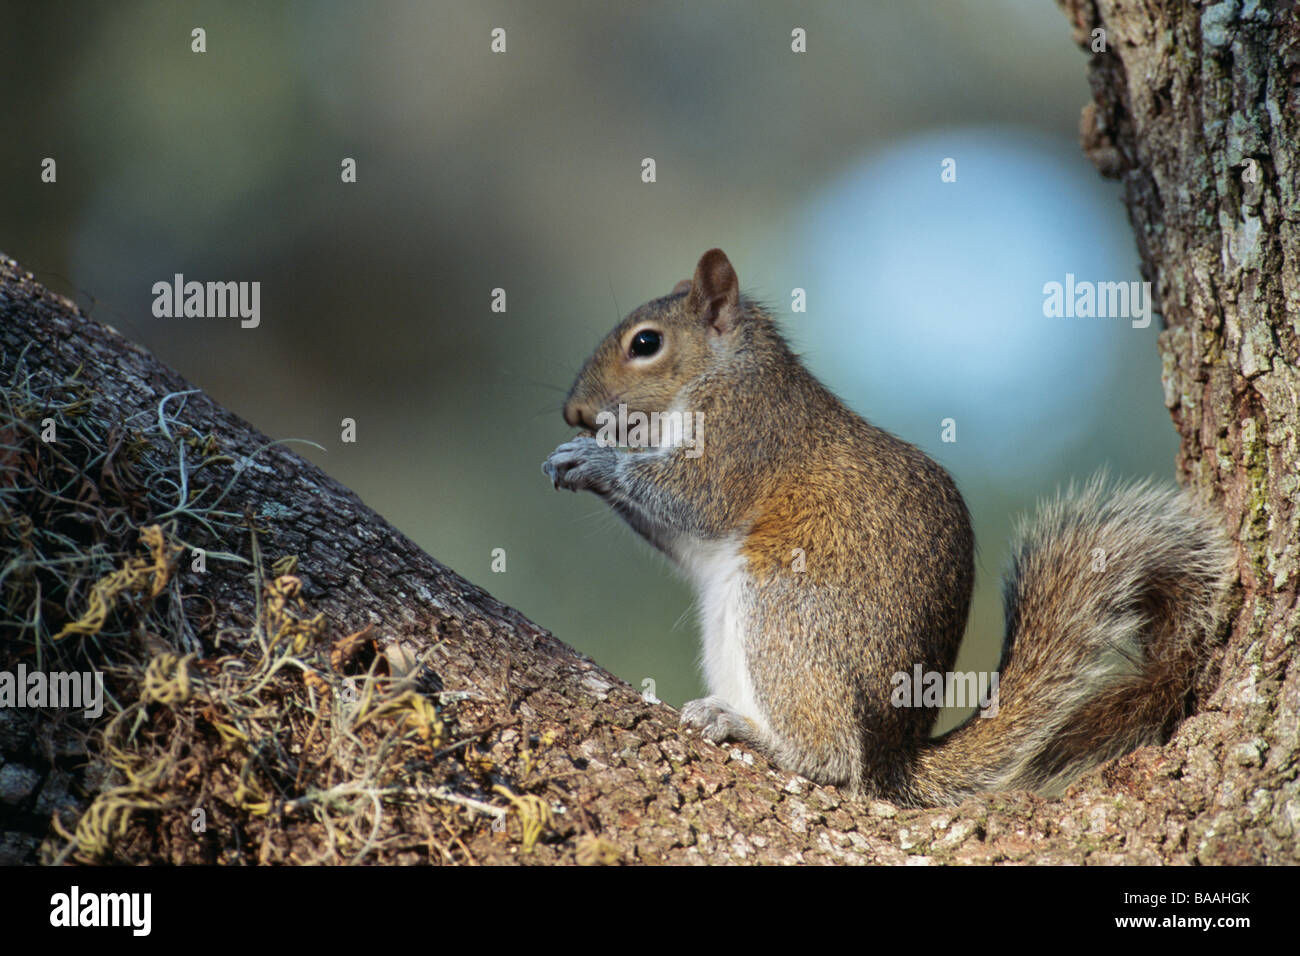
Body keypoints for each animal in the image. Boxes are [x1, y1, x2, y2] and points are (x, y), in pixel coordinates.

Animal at [542, 248, 1233, 807]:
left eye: (645, 344)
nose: (573, 412)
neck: (725, 369)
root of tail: (894, 758)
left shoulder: (746, 435)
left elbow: (696, 498)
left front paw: (593, 460)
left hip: (785, 613)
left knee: (834, 760)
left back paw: (750, 731)